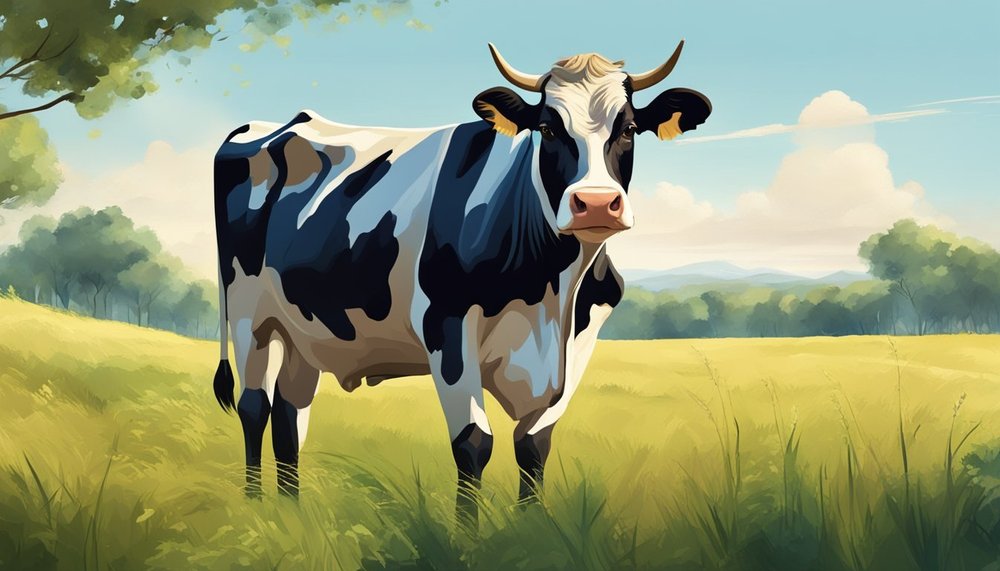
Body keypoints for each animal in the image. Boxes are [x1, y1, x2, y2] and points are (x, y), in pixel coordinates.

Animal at [212, 40, 711, 524]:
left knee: (289, 415)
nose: (596, 203)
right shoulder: (446, 325)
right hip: (248, 315)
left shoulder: (579, 342)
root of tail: (265, 126)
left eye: (628, 129)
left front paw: (531, 528)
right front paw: (467, 535)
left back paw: (291, 509)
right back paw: (255, 503)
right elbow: (474, 442)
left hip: (306, 330)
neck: (552, 298)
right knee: (255, 406)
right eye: (547, 130)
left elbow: (534, 444)